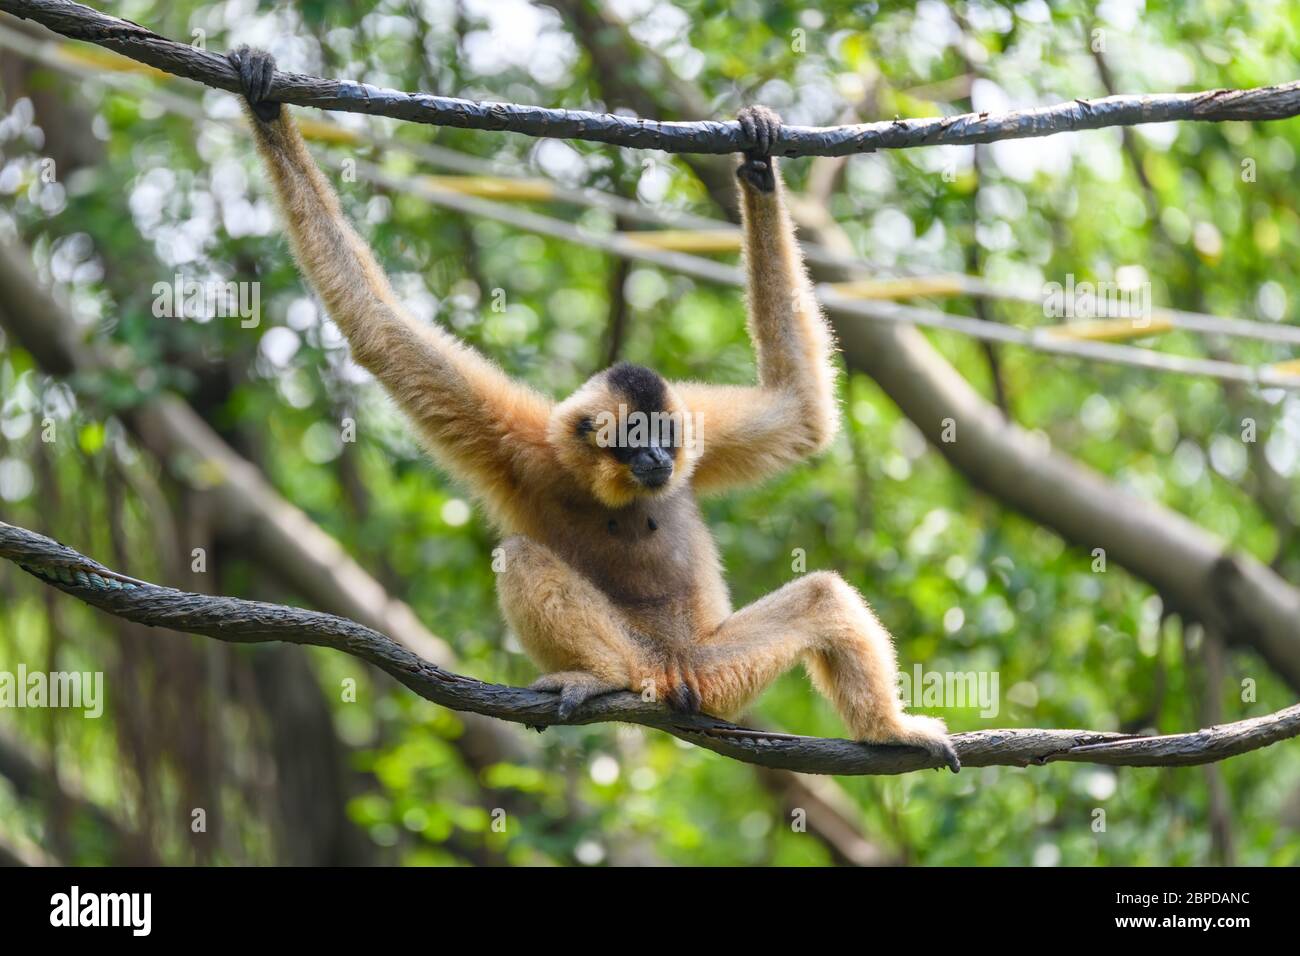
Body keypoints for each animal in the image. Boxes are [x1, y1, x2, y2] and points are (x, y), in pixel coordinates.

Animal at [228, 48, 958, 772]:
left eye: (663, 433)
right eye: (635, 436)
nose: (659, 457)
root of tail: (672, 671)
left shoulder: (697, 431)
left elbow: (799, 410)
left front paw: (757, 168)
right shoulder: (519, 442)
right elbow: (378, 329)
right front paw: (266, 108)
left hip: (719, 669)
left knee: (820, 597)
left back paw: (886, 730)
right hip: (662, 659)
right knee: (524, 557)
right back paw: (605, 677)